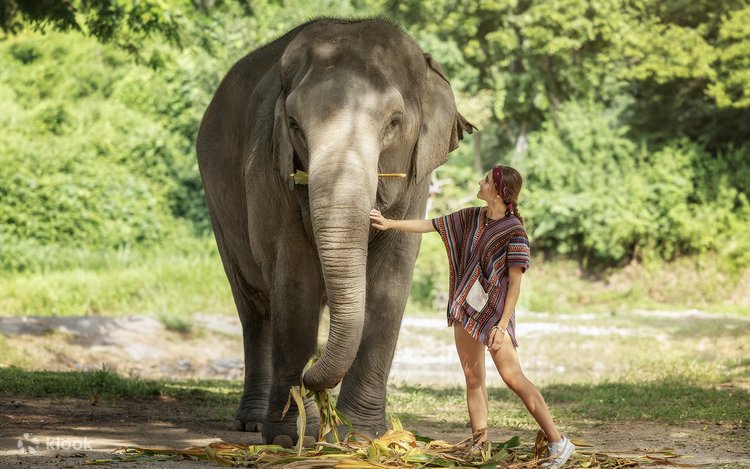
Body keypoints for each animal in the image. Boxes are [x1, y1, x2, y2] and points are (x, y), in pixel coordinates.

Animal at [196, 17, 473, 446]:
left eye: (394, 122)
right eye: (294, 124)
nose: (310, 379)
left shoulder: (417, 182)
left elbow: (391, 280)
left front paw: (360, 437)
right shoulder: (268, 169)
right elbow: (294, 279)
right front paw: (290, 437)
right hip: (218, 207)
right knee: (255, 307)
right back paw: (255, 423)